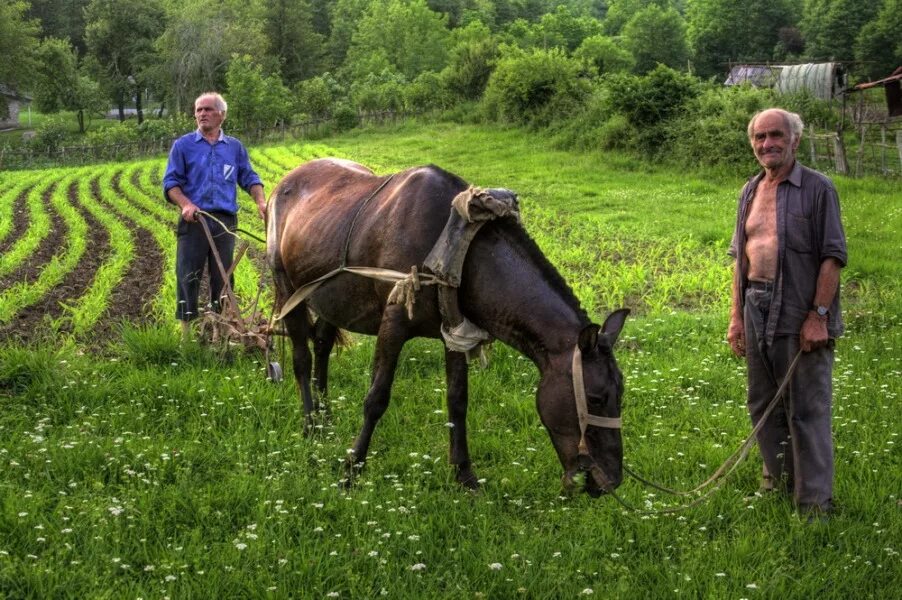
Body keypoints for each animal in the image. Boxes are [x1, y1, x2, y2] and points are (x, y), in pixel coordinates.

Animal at [268, 157, 628, 494]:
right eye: (595, 398)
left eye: (621, 394)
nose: (611, 480)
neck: (456, 245)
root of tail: (284, 182)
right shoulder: (394, 320)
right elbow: (375, 399)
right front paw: (352, 470)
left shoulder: (455, 332)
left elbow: (458, 401)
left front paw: (464, 473)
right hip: (287, 289)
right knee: (302, 358)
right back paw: (310, 423)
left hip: (332, 300)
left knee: (322, 346)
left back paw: (325, 417)